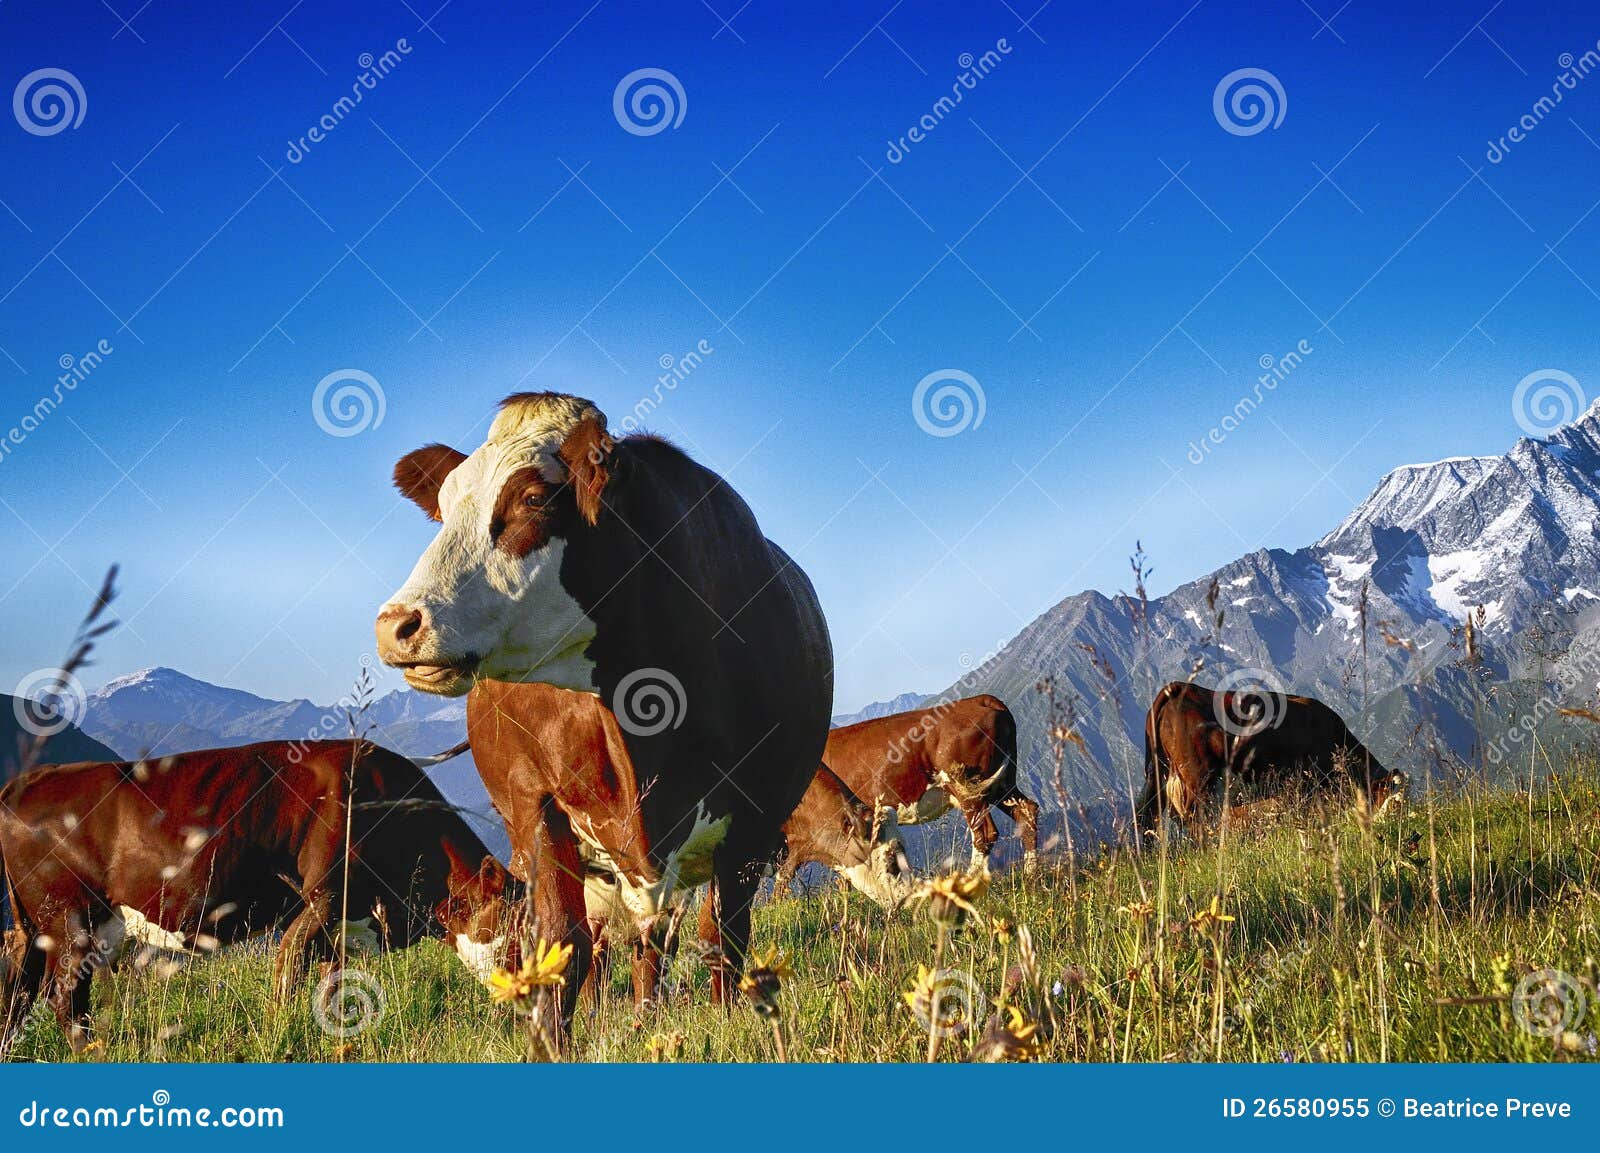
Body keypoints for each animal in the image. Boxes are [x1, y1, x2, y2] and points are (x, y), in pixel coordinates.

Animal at [0, 739, 512, 1051]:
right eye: (516, 925)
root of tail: (32, 778)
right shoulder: (323, 896)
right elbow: (288, 973)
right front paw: (280, 1034)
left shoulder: (342, 923)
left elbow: (332, 986)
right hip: (69, 920)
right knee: (65, 999)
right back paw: (96, 1051)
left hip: (38, 928)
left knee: (18, 990)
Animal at [375, 392, 833, 1029]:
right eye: (442, 509)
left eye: (534, 498)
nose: (397, 625)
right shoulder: (533, 803)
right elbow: (560, 943)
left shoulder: (754, 820)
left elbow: (722, 939)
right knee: (604, 942)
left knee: (653, 942)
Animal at [822, 695, 1040, 873]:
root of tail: (981, 699)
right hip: (1001, 783)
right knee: (1026, 811)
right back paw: (1031, 876)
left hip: (968, 788)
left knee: (985, 834)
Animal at [1136, 681, 1407, 836]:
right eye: (1393, 801)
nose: (1394, 828)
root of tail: (1179, 687)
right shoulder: (1303, 789)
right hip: (1198, 781)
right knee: (1196, 823)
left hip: (1158, 777)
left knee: (1145, 819)